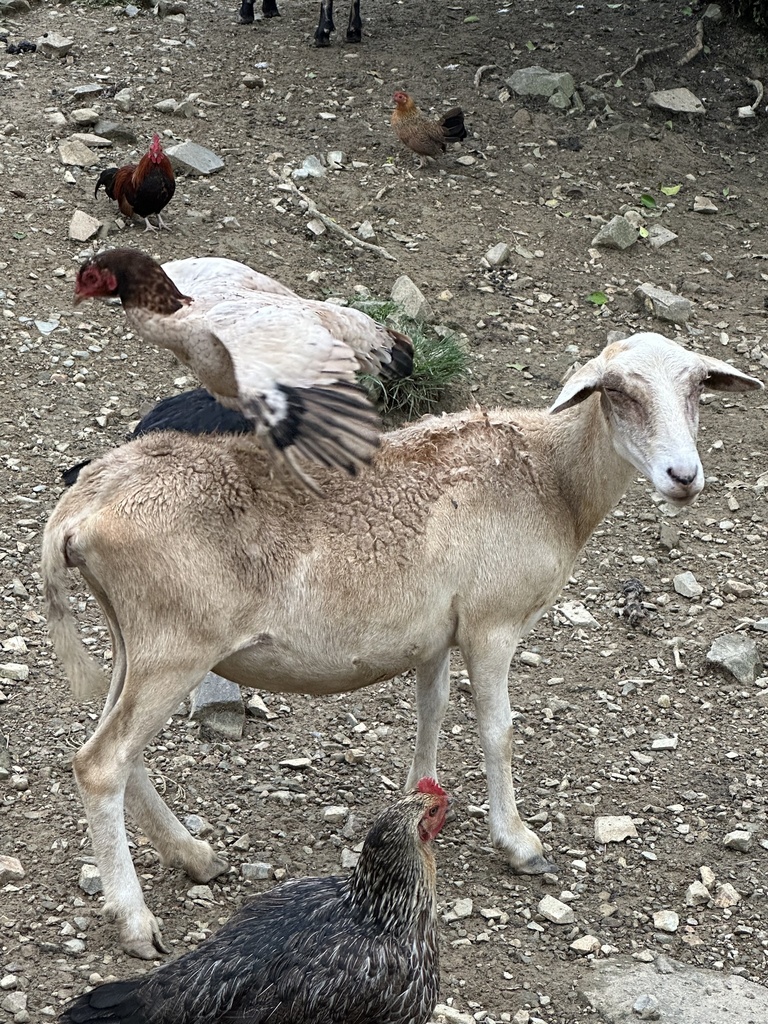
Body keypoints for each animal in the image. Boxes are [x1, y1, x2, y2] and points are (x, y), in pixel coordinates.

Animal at [41, 332, 762, 960]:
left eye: (697, 386)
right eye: (619, 391)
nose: (683, 476)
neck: (550, 479)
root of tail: (80, 508)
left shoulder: (436, 632)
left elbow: (432, 711)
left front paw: (420, 796)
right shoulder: (492, 622)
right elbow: (498, 729)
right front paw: (517, 842)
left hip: (136, 640)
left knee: (116, 754)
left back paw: (194, 856)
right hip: (176, 644)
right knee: (101, 764)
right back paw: (136, 920)